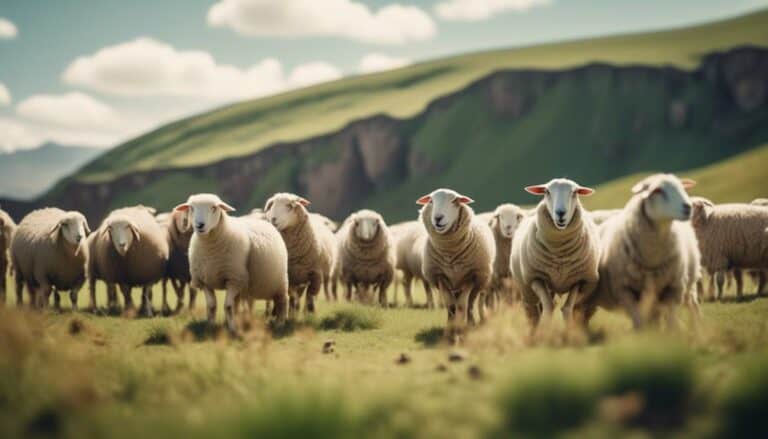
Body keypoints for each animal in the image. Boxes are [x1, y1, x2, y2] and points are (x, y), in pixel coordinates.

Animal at [175, 194, 288, 332]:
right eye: (191, 208)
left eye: (214, 208)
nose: (199, 225)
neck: (210, 250)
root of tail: (263, 220)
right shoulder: (205, 281)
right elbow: (212, 306)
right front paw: (210, 327)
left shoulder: (233, 279)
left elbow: (228, 306)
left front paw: (232, 329)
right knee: (239, 303)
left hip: (279, 281)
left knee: (283, 301)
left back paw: (280, 324)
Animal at [418, 189, 495, 343]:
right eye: (431, 201)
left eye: (454, 201)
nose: (438, 218)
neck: (450, 252)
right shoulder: (441, 277)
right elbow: (451, 306)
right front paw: (450, 334)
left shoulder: (469, 276)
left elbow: (461, 306)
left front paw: (461, 333)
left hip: (480, 281)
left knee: (470, 303)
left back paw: (471, 324)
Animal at [510, 179, 600, 330]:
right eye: (547, 192)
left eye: (574, 192)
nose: (560, 213)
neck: (559, 251)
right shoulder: (536, 278)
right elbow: (548, 306)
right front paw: (546, 330)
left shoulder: (579, 279)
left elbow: (567, 308)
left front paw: (570, 331)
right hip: (526, 287)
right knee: (533, 312)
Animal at [587, 174, 701, 329]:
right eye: (658, 190)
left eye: (682, 188)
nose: (688, 207)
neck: (652, 255)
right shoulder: (625, 290)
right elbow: (638, 320)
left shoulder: (674, 287)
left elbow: (670, 317)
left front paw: (672, 331)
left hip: (688, 288)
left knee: (692, 308)